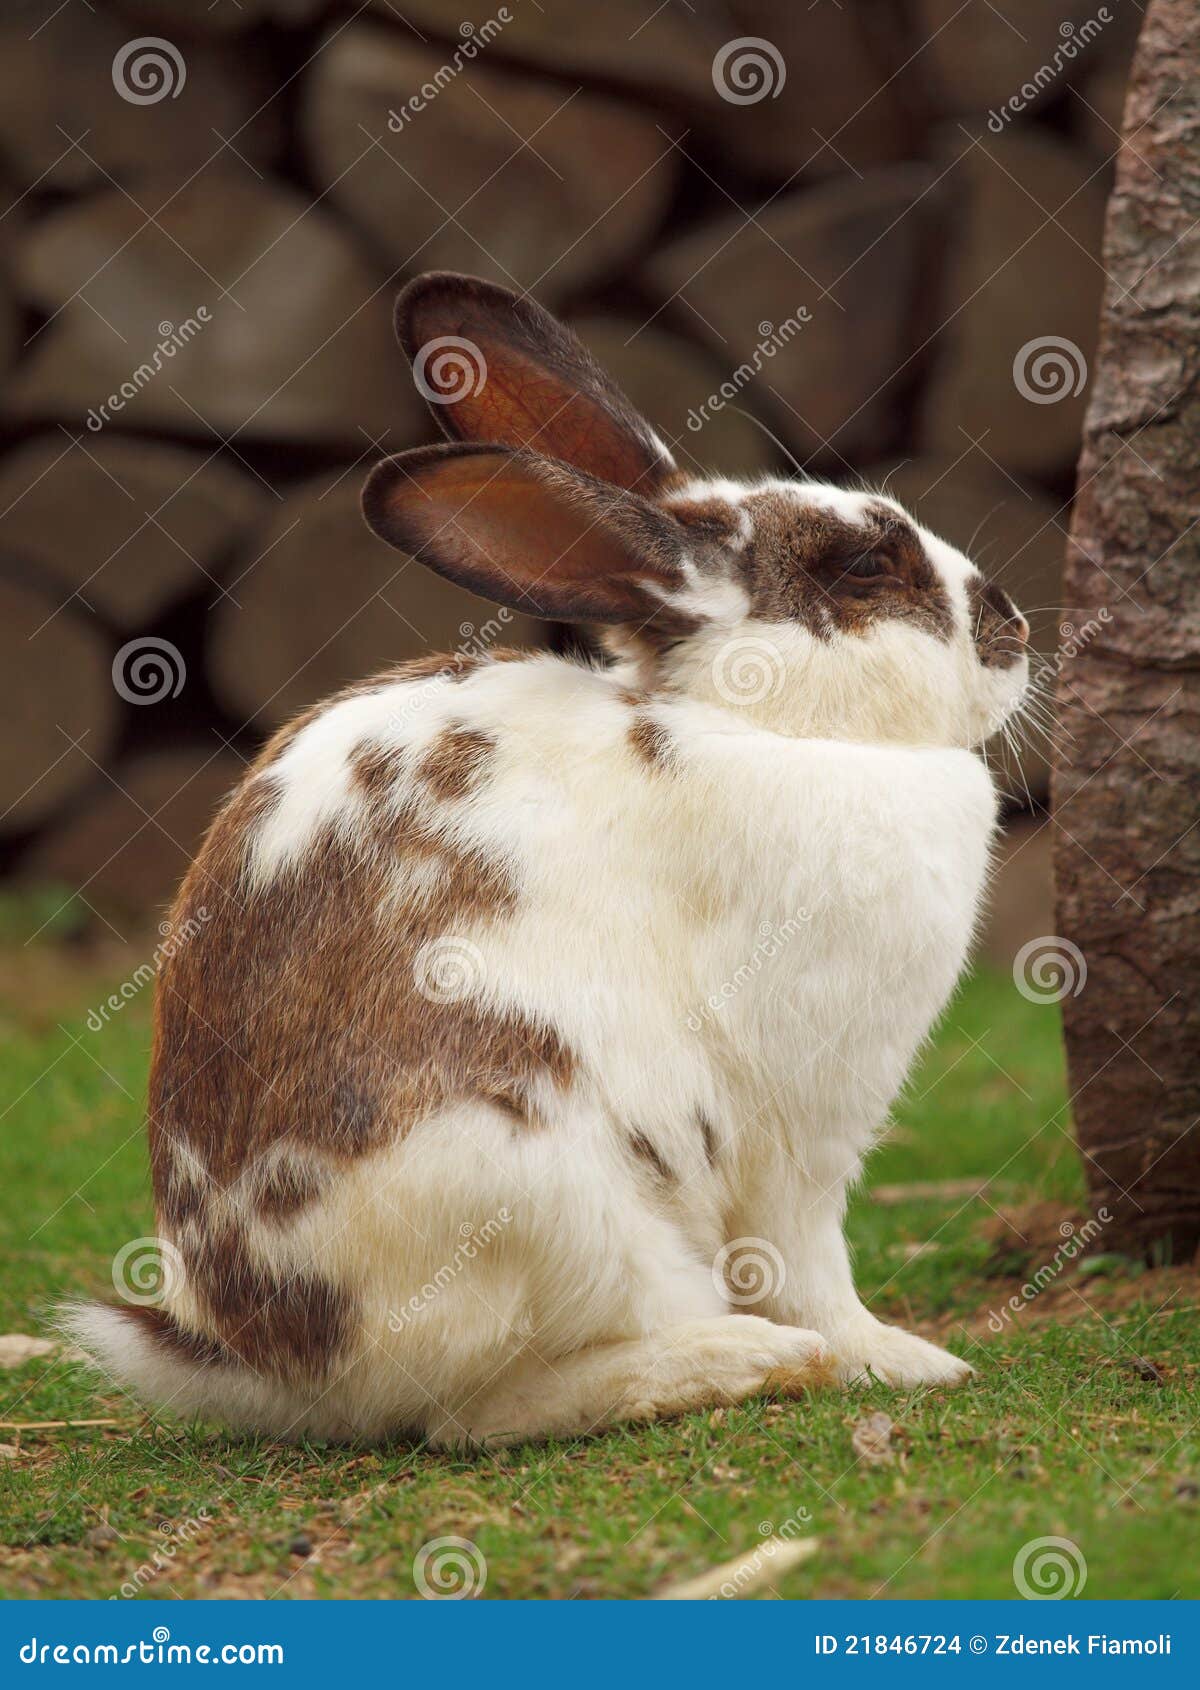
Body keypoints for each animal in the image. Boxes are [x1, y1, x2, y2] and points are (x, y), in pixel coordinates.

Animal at [63, 272, 1030, 1449]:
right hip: (539, 1187)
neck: (760, 725)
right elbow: (811, 1265)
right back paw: (738, 1360)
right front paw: (899, 1358)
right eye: (865, 567)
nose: (1018, 631)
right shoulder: (800, 1128)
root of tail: (265, 1353)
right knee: (474, 1413)